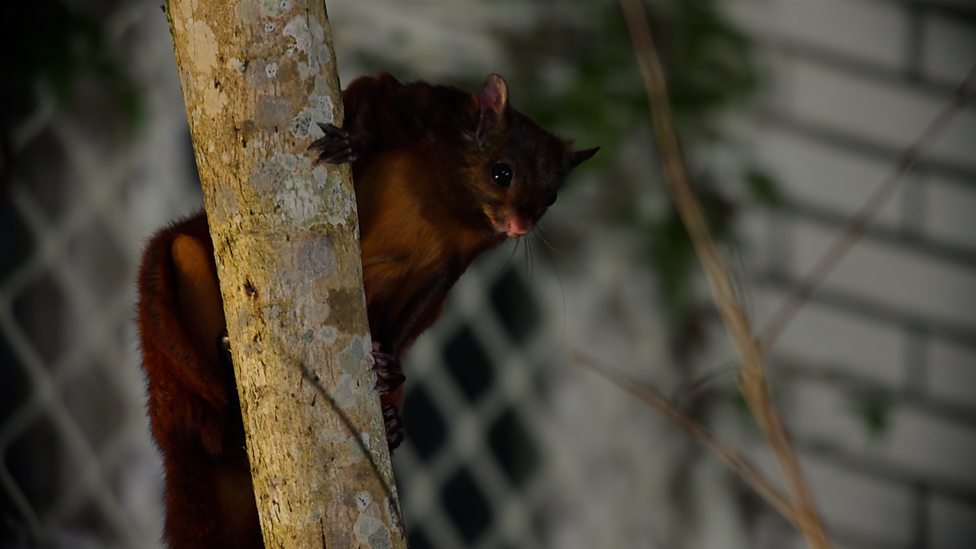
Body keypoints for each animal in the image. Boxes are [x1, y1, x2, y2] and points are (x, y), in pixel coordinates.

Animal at [137, 73, 597, 548]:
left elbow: (425, 299)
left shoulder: (456, 259)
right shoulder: (419, 107)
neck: (449, 200)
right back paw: (228, 374)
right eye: (501, 172)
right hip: (176, 326)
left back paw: (390, 424)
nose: (520, 226)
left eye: (551, 196)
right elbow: (371, 95)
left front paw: (389, 364)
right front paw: (352, 142)